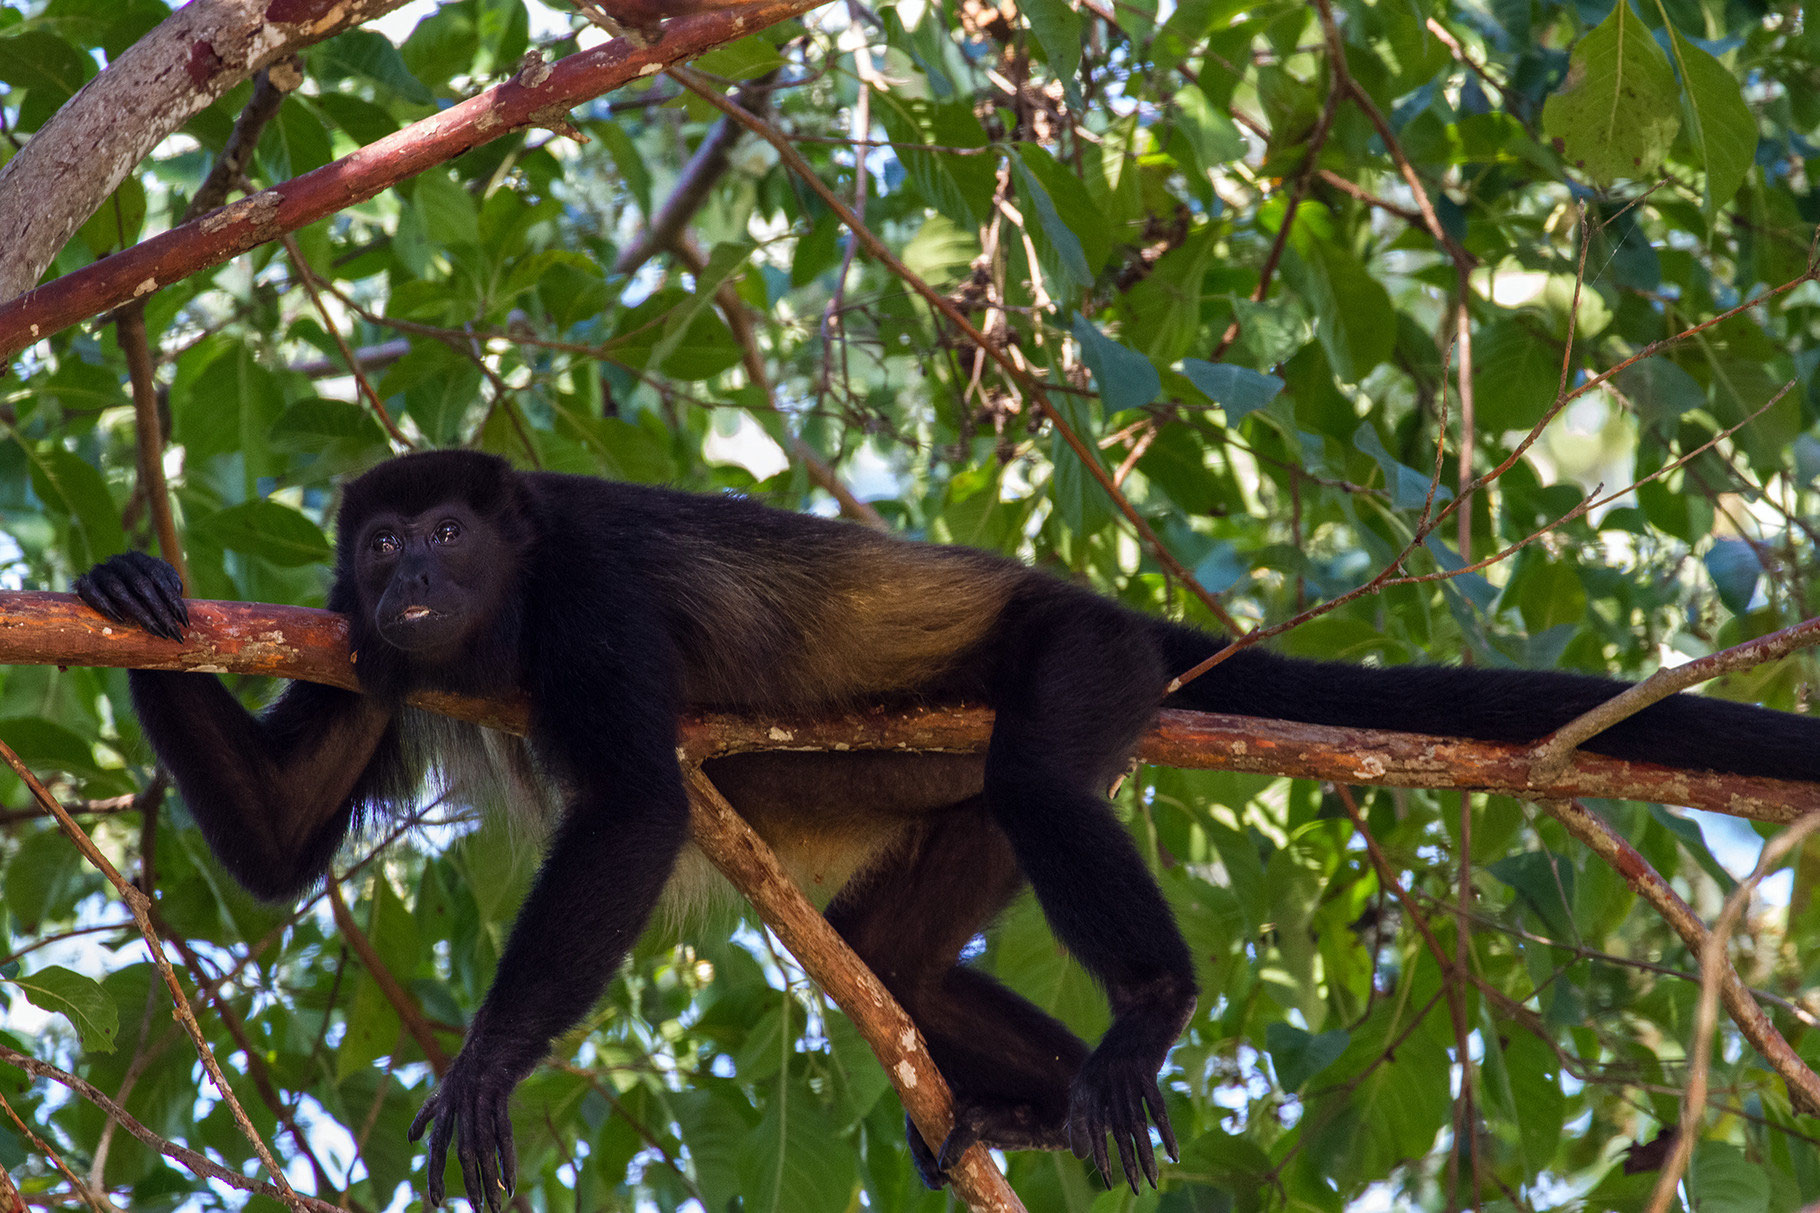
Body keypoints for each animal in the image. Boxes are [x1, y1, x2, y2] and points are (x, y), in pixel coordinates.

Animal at [73, 449, 1820, 1206]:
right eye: (378, 544)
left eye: (444, 529)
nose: (414, 576)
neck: (493, 613)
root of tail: (1132, 618)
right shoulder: (348, 633)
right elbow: (285, 842)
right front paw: (131, 592)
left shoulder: (590, 590)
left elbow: (636, 803)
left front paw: (491, 1065)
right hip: (958, 797)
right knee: (891, 954)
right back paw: (1038, 1108)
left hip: (1084, 664)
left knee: (1048, 788)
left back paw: (1148, 1017)